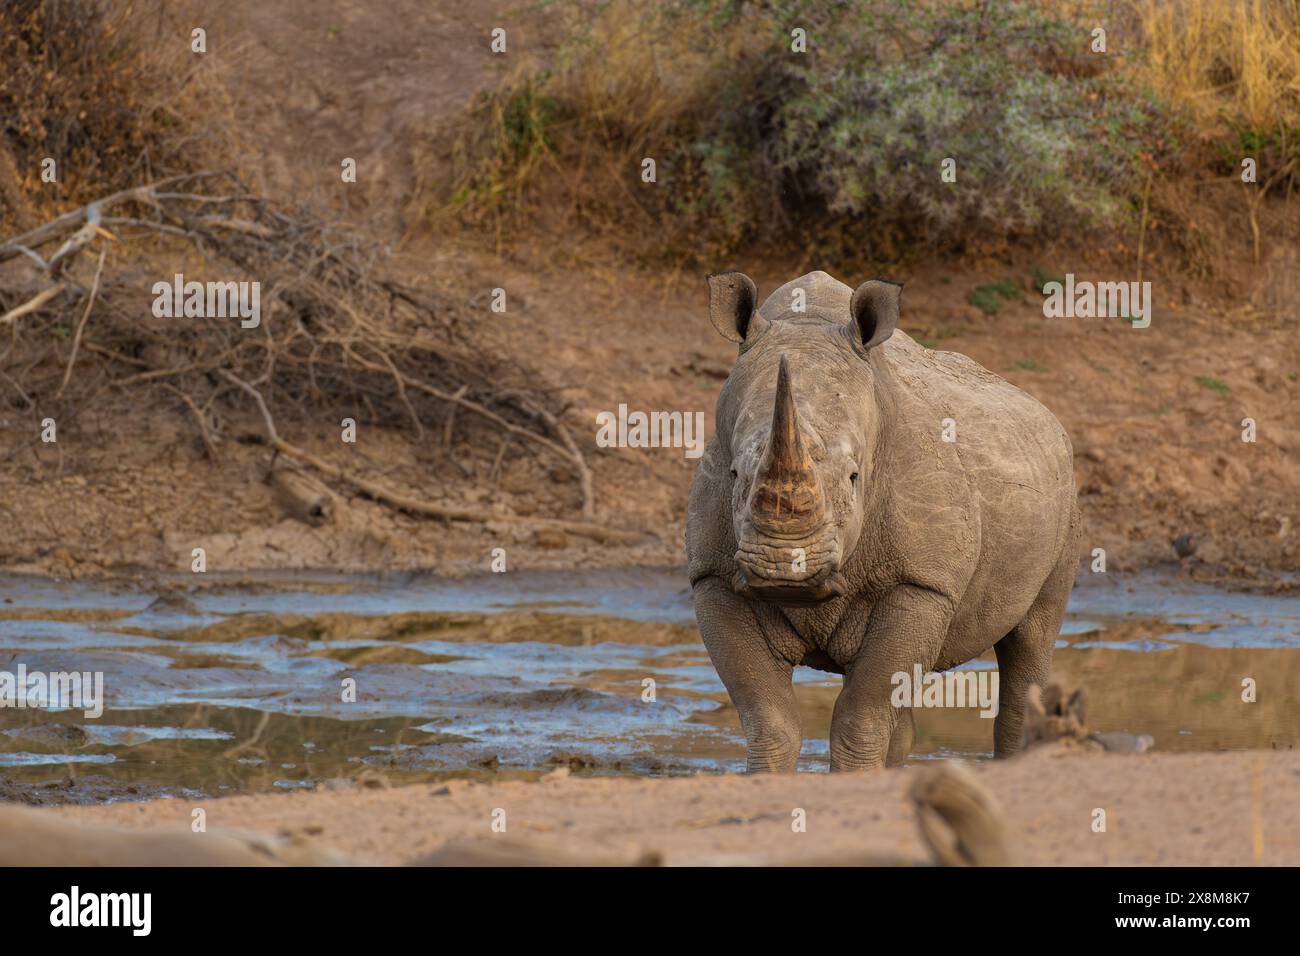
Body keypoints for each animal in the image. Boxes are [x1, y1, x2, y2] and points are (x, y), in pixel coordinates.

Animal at [686, 271, 1080, 772]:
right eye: (735, 475)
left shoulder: (921, 583)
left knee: (1032, 637)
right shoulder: (714, 576)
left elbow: (862, 715)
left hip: (1064, 490)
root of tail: (1041, 410)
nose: (784, 571)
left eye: (855, 477)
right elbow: (769, 718)